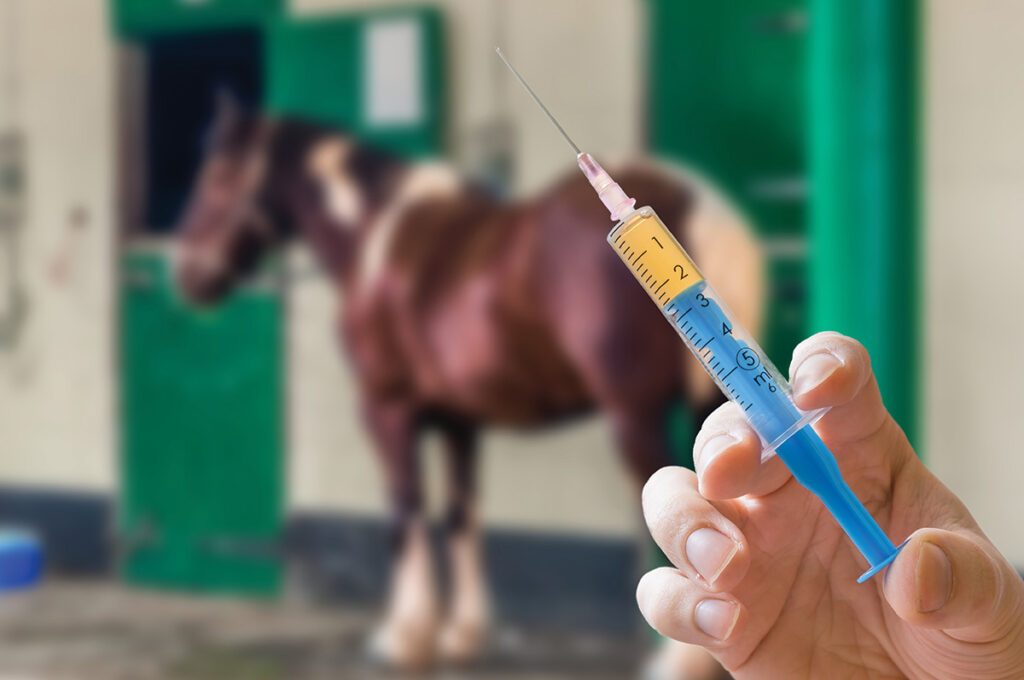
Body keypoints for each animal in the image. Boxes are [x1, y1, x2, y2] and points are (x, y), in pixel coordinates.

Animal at [175, 93, 763, 672]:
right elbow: (463, 512)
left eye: (219, 176)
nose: (186, 277)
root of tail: (694, 202)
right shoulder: (459, 417)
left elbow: (405, 510)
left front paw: (406, 639)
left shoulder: (387, 408)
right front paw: (465, 635)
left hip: (634, 417)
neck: (375, 240)